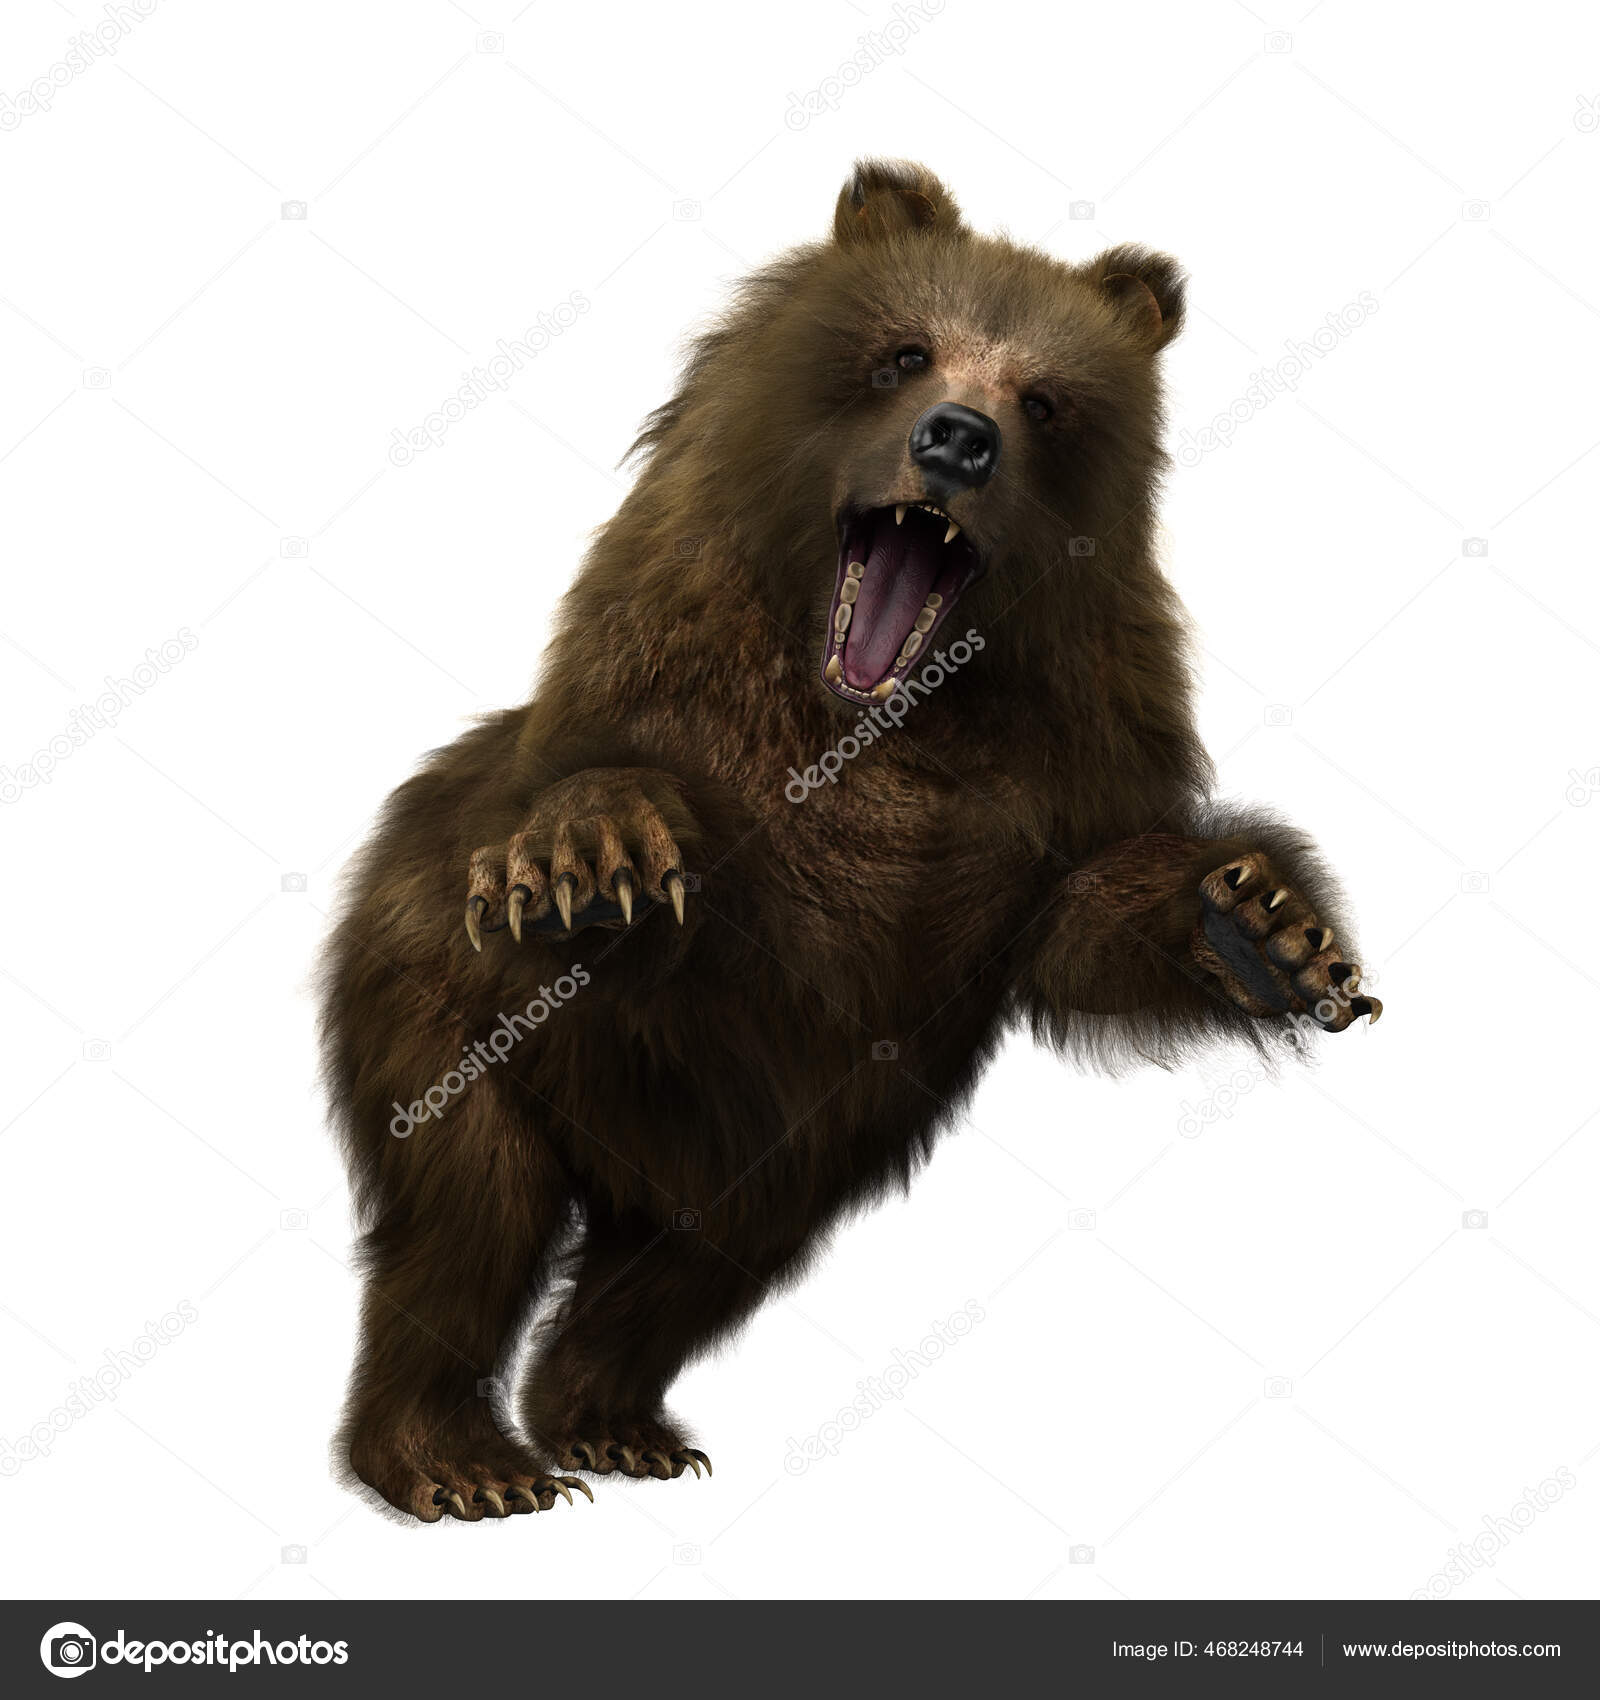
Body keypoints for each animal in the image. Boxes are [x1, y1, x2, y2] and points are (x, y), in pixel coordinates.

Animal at [319, 159, 1381, 1522]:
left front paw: (1264, 926)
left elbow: (1087, 924)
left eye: (1046, 399)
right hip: (449, 1014)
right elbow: (636, 873)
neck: (871, 722)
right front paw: (594, 855)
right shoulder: (680, 712)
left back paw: (612, 1420)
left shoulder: (1051, 782)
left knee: (688, 1270)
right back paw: (459, 1460)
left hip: (777, 1162)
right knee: (470, 1215)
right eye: (902, 353)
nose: (958, 437)